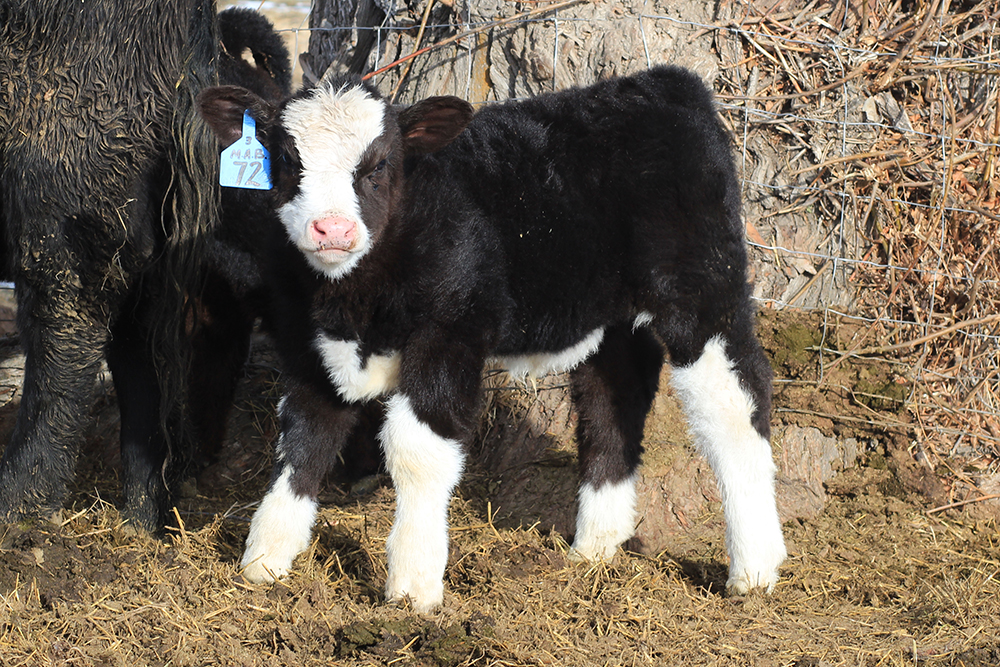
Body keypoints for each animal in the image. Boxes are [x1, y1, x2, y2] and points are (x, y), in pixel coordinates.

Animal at [197, 65, 787, 611]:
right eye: (286, 159)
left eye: (380, 164)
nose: (333, 230)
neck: (355, 303)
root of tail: (667, 82)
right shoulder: (307, 344)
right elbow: (302, 437)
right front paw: (265, 559)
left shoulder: (450, 332)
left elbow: (416, 449)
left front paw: (413, 586)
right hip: (613, 316)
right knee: (613, 402)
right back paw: (594, 548)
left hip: (703, 289)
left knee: (736, 406)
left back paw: (754, 567)